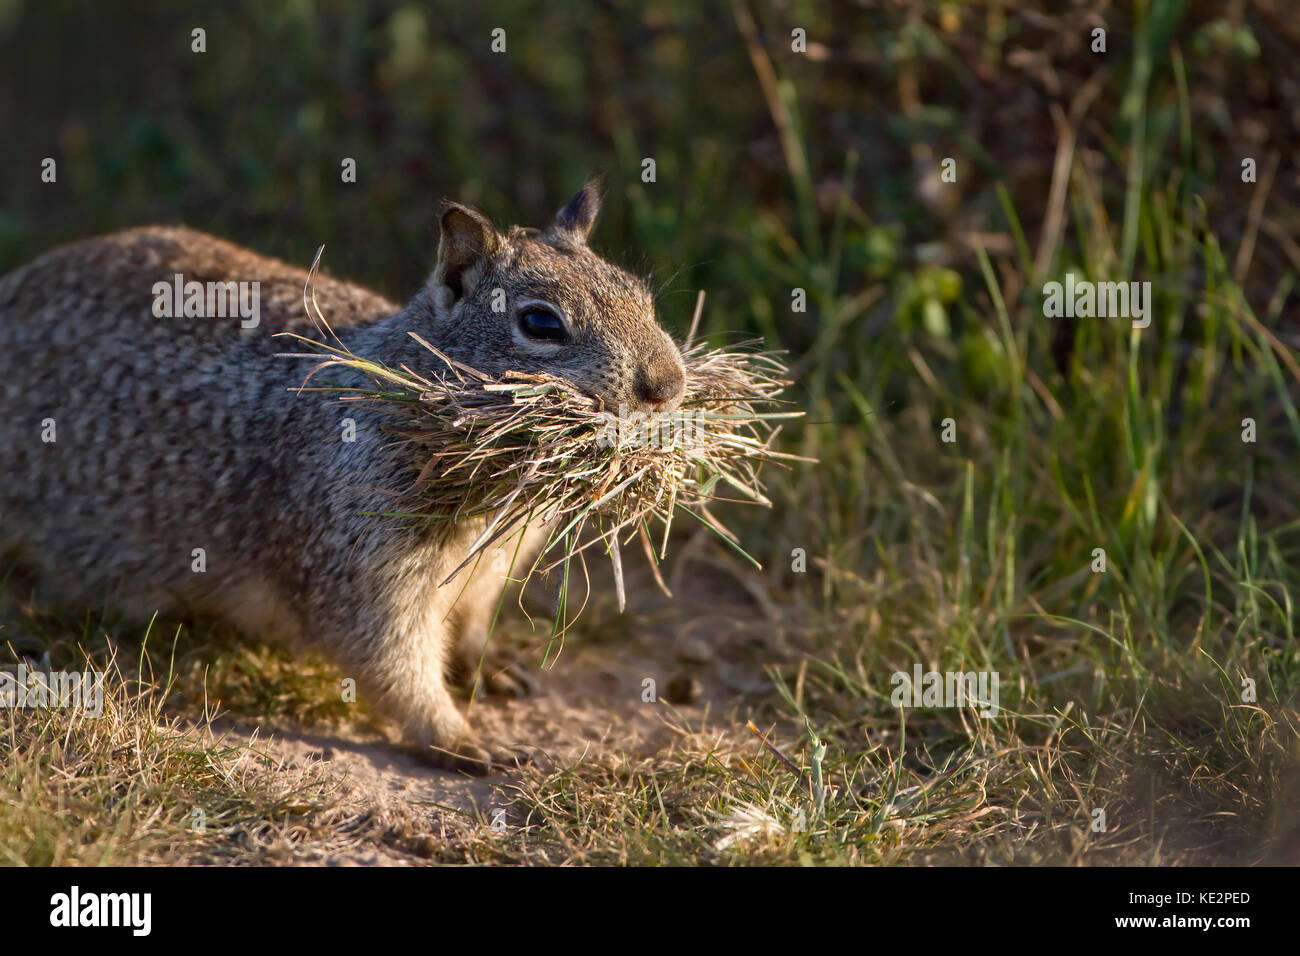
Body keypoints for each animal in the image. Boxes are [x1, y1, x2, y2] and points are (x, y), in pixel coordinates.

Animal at [0, 181, 688, 771]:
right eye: (541, 323)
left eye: (640, 294)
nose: (668, 385)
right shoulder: (362, 570)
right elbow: (393, 665)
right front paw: (461, 740)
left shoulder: (489, 571)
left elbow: (469, 634)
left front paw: (493, 672)